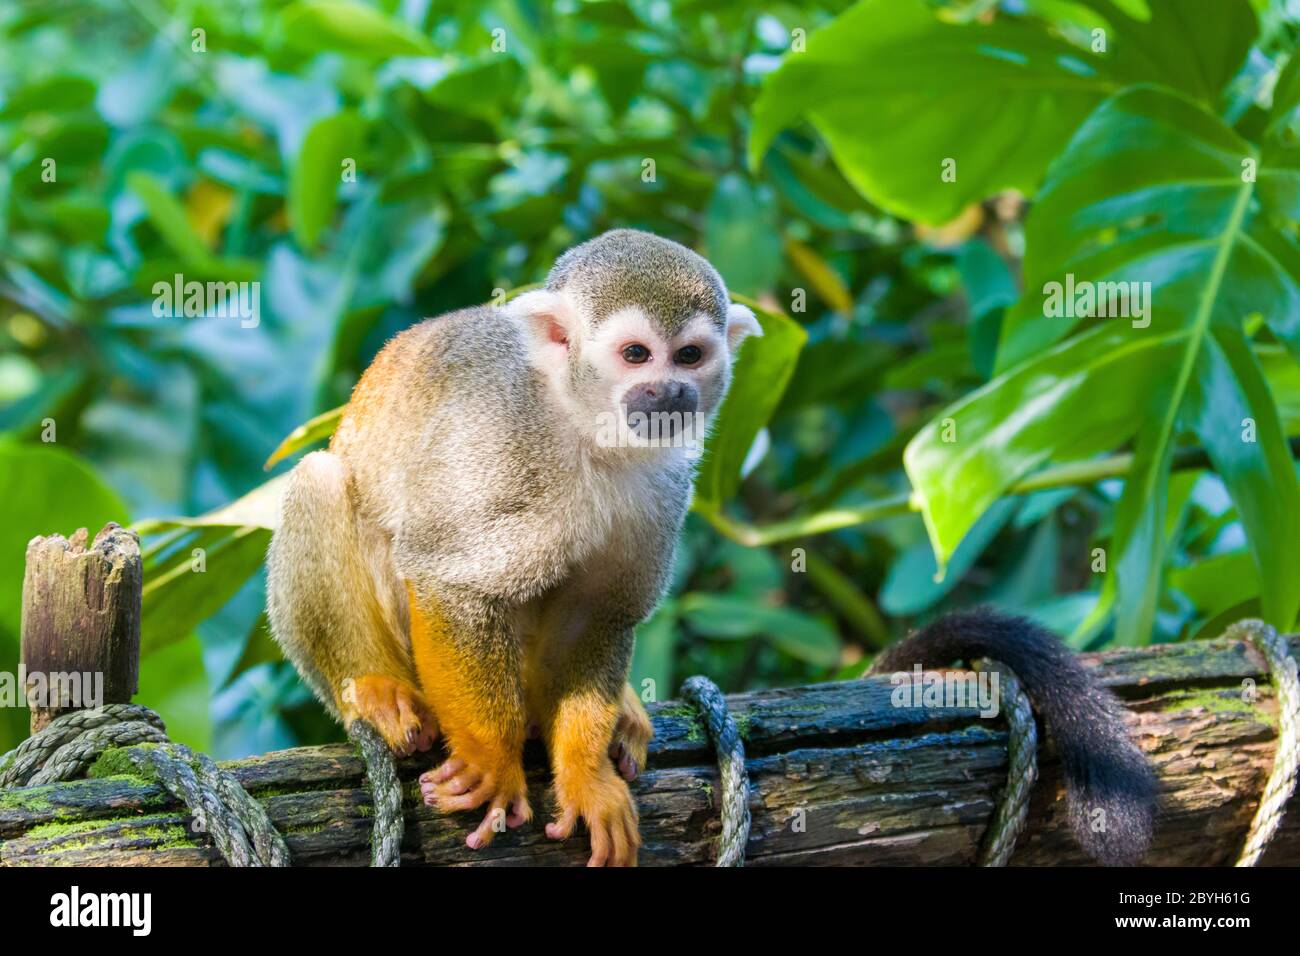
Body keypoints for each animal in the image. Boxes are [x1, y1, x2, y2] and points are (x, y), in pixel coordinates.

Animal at [266, 229, 762, 866]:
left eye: (691, 355)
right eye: (636, 354)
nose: (672, 390)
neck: (585, 430)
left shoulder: (663, 488)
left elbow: (596, 613)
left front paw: (585, 776)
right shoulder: (495, 442)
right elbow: (449, 575)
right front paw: (491, 762)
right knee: (319, 481)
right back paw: (374, 690)